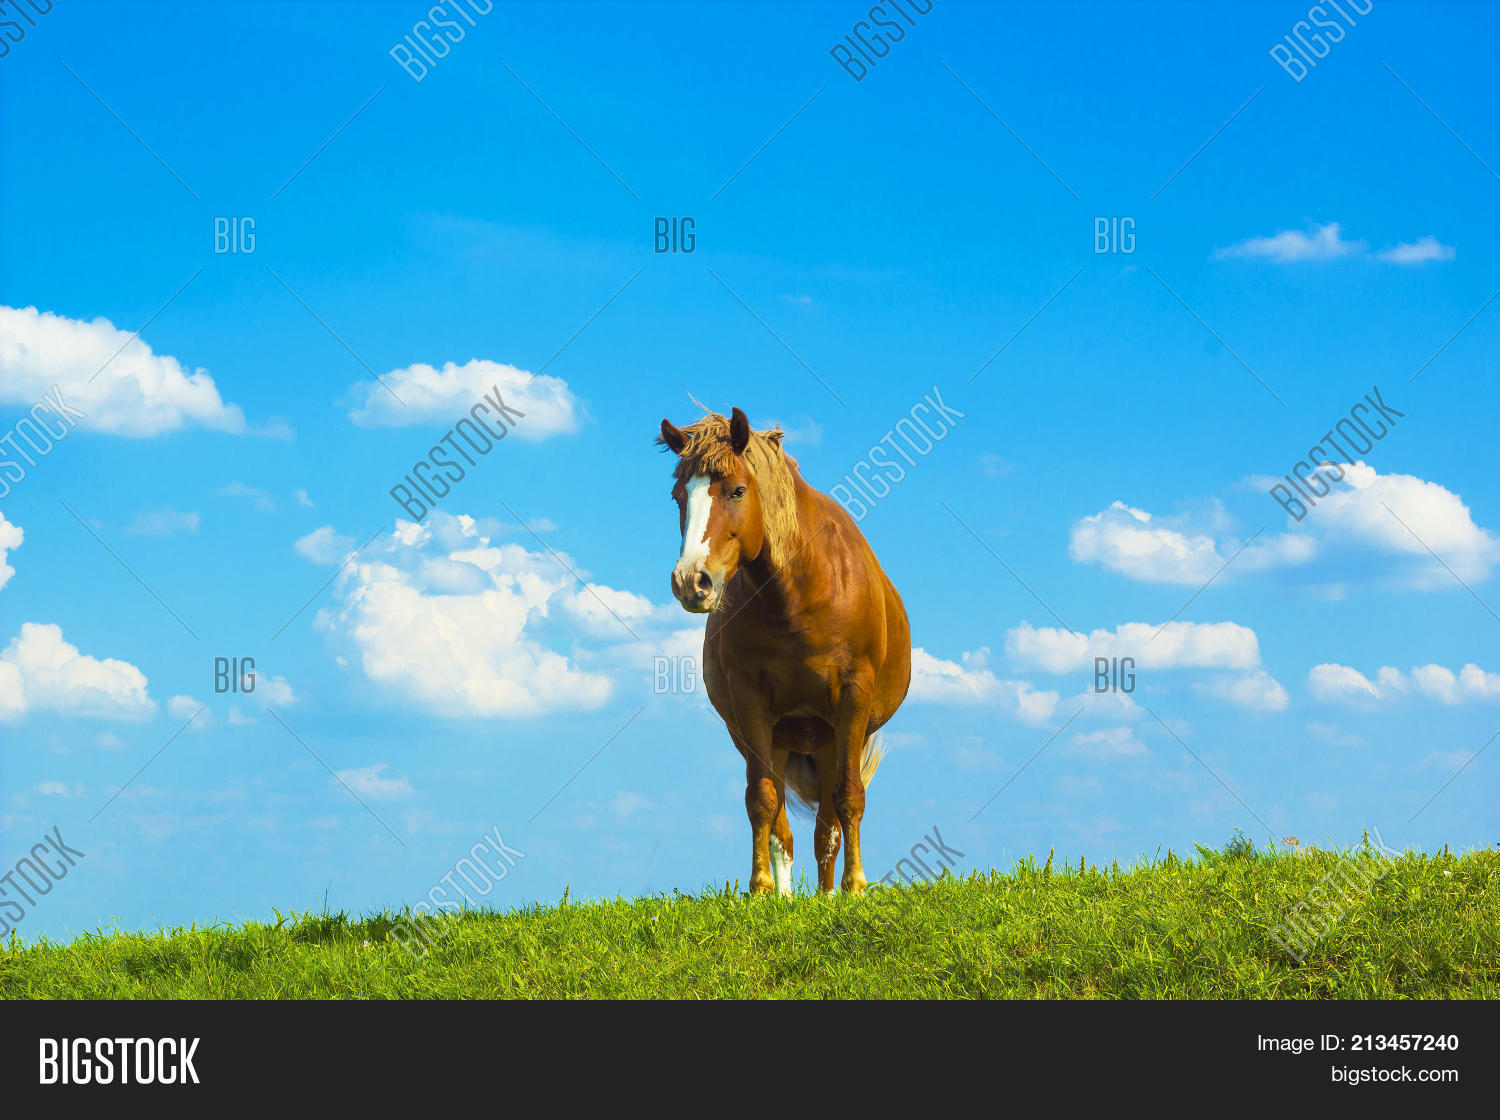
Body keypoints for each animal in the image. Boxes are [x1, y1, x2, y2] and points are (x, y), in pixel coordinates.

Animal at [659, 407, 911, 895]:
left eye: (738, 490)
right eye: (680, 497)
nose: (690, 581)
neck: (799, 594)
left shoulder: (852, 702)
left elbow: (849, 798)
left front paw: (854, 887)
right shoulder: (752, 706)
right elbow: (762, 800)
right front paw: (760, 890)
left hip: (831, 739)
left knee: (829, 824)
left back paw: (830, 893)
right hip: (774, 739)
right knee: (784, 825)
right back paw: (787, 894)